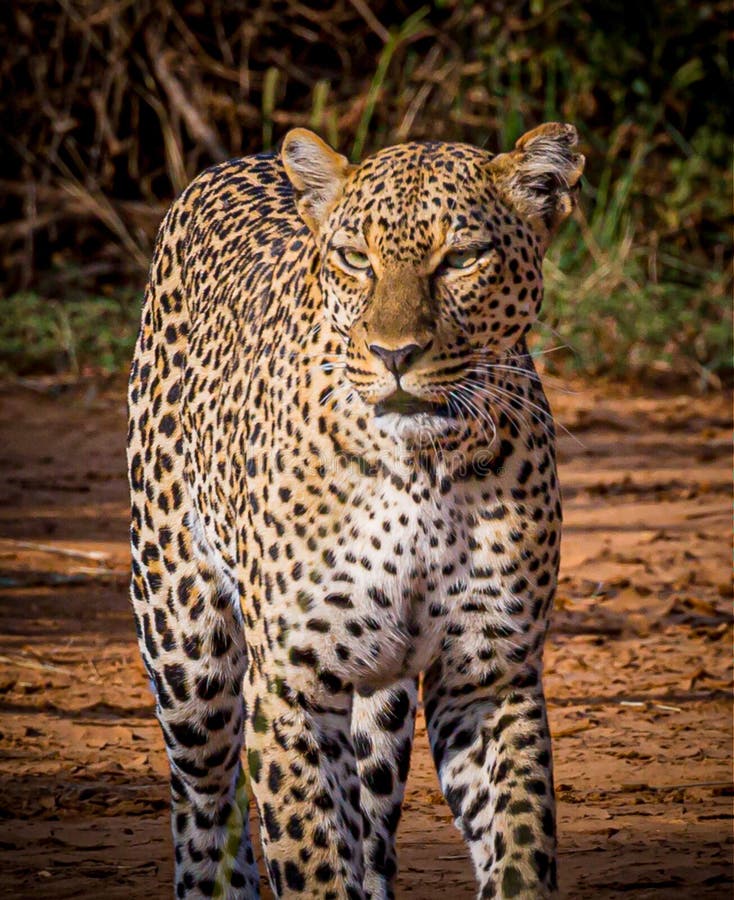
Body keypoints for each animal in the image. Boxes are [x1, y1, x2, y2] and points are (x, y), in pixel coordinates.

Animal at [127, 121, 584, 899]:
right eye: (354, 259)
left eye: (461, 259)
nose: (393, 354)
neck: (423, 468)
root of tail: (238, 160)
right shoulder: (294, 685)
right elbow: (310, 855)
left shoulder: (491, 673)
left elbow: (520, 843)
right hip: (185, 644)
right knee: (206, 801)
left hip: (380, 704)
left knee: (367, 823)